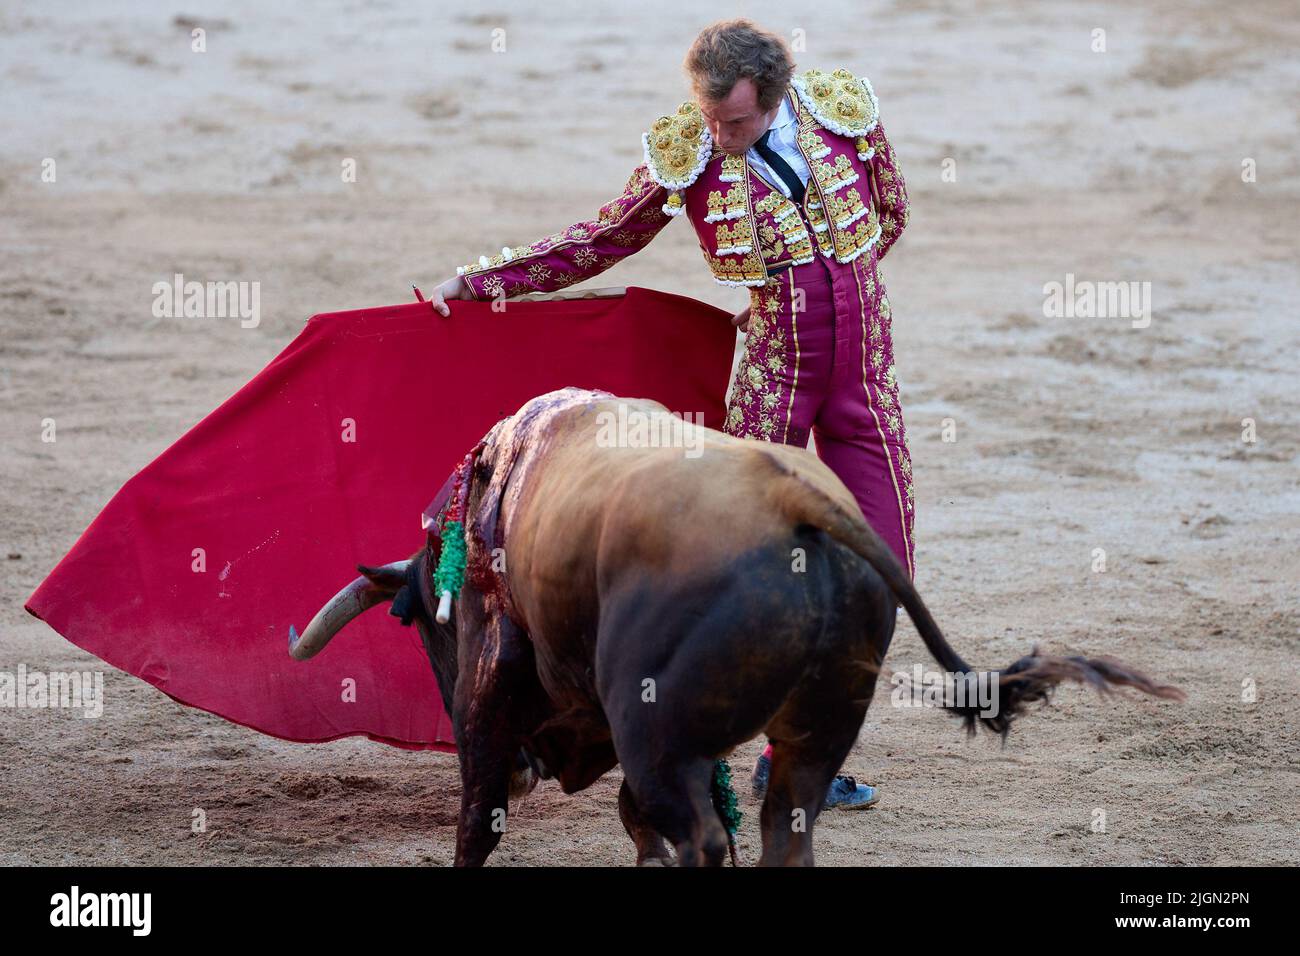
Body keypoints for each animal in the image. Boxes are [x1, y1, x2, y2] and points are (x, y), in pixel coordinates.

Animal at [288, 387, 1183, 866]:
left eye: (427, 632)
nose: (529, 769)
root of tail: (794, 497)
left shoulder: (496, 678)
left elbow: (479, 813)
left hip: (657, 736)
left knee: (699, 837)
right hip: (814, 735)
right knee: (783, 835)